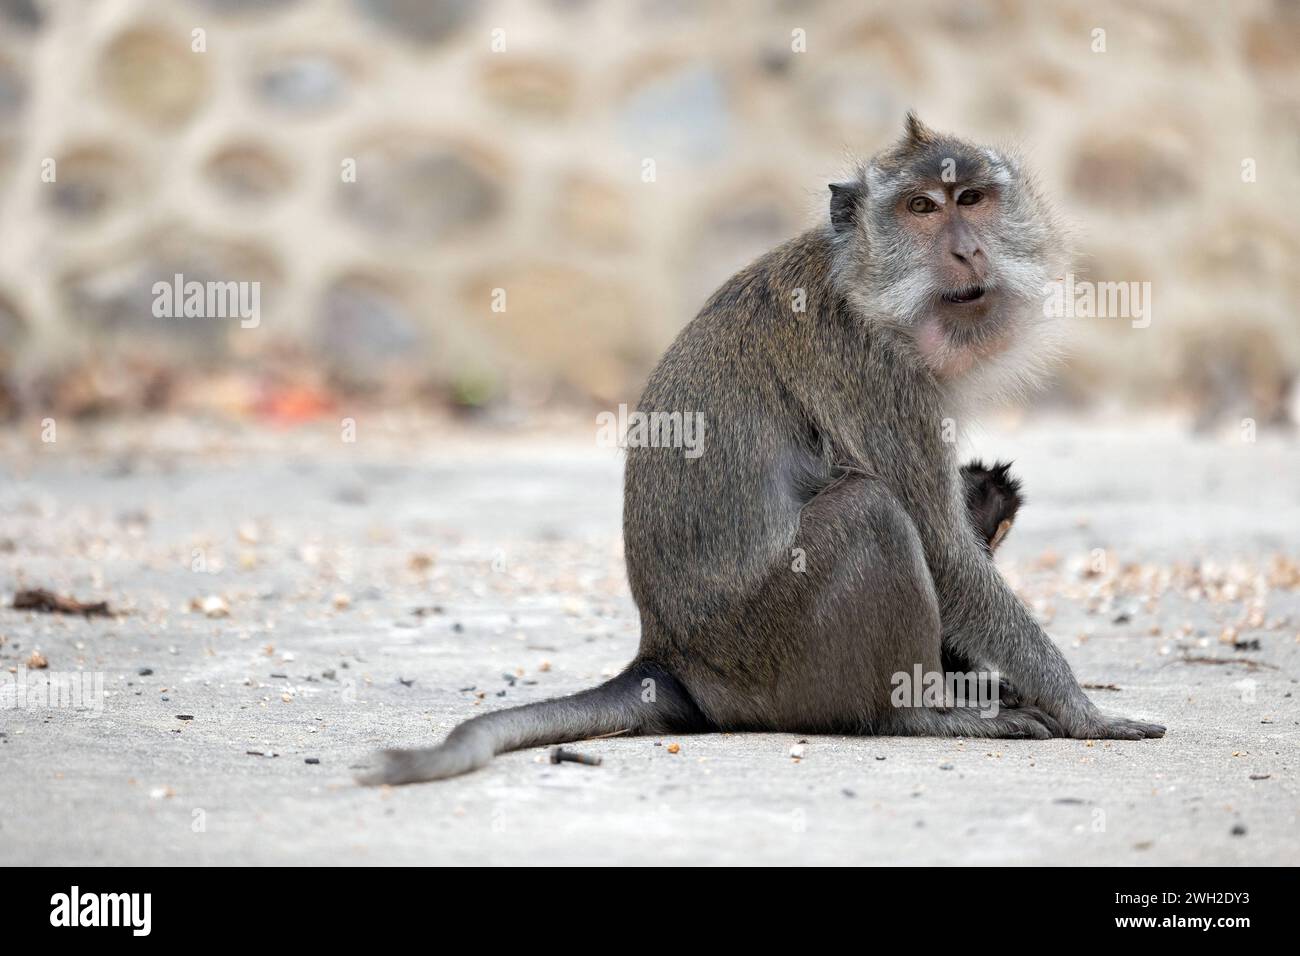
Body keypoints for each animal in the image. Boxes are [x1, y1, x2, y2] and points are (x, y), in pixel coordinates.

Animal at [360, 113, 1164, 786]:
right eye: (921, 209)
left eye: (970, 197)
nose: (967, 250)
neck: (867, 289)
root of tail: (667, 657)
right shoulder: (873, 371)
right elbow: (941, 546)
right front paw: (1081, 709)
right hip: (773, 655)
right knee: (872, 512)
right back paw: (916, 712)